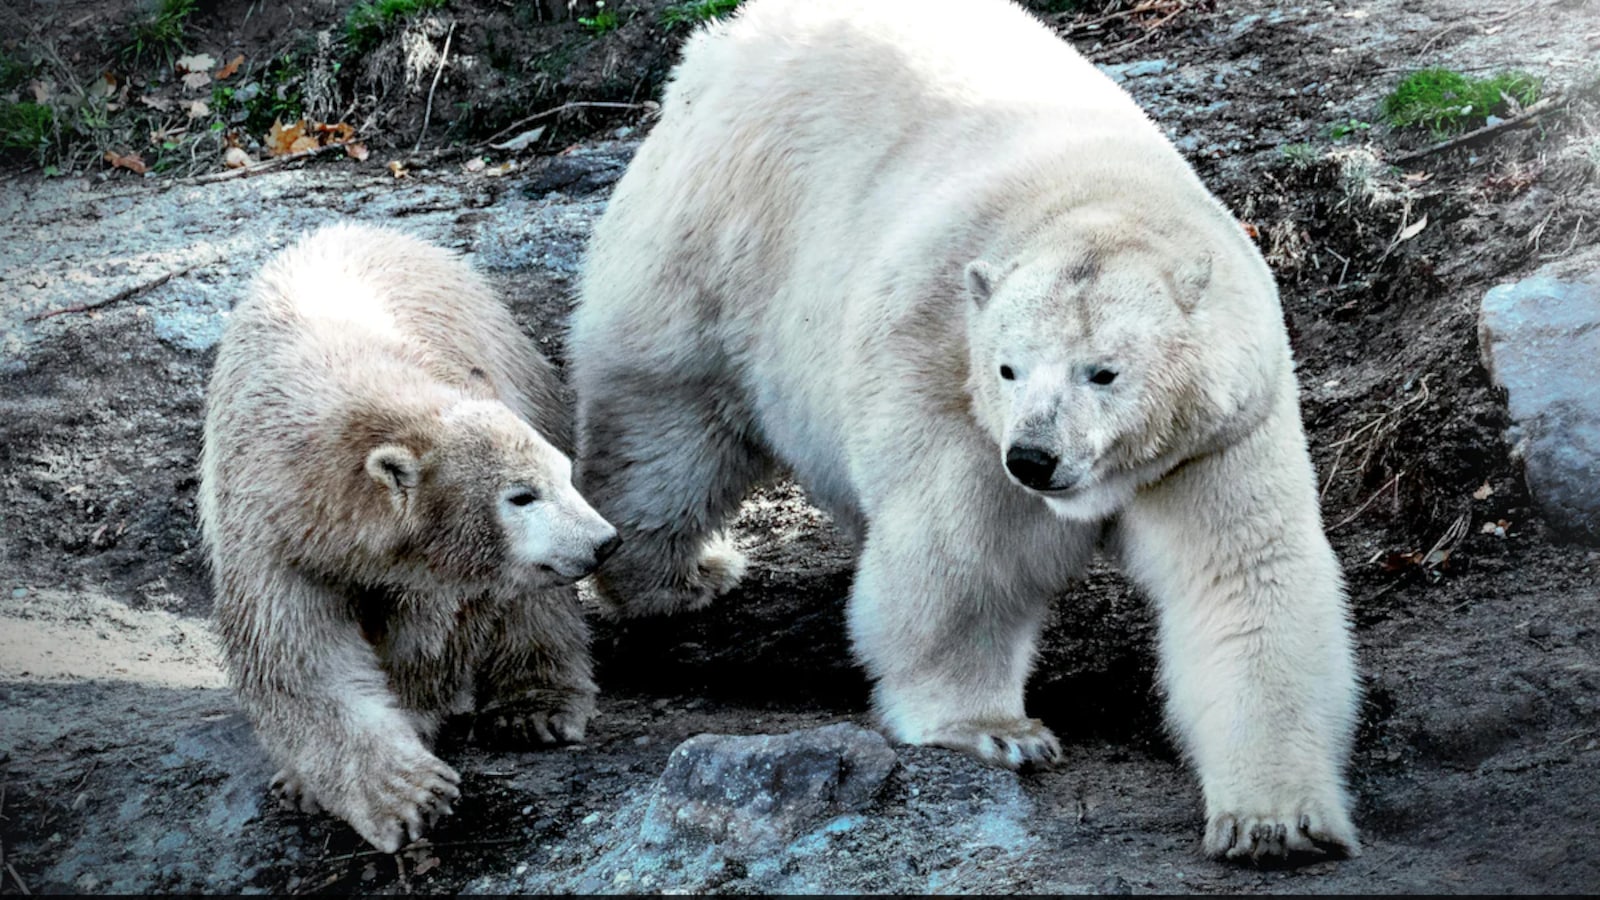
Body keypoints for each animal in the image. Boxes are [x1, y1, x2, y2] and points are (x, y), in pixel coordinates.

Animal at [198, 221, 618, 853]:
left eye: (562, 476)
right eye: (521, 496)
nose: (602, 541)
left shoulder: (436, 566)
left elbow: (431, 635)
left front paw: (415, 757)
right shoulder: (269, 532)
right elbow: (298, 661)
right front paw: (384, 793)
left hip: (519, 379)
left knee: (530, 604)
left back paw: (534, 709)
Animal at [567, 0, 1361, 862]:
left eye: (1104, 372)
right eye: (1009, 368)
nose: (1036, 458)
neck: (1095, 196)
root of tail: (723, 43)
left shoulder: (1216, 431)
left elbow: (1246, 577)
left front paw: (1275, 823)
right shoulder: (950, 381)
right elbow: (967, 555)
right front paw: (998, 730)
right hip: (717, 242)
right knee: (667, 427)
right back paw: (675, 575)